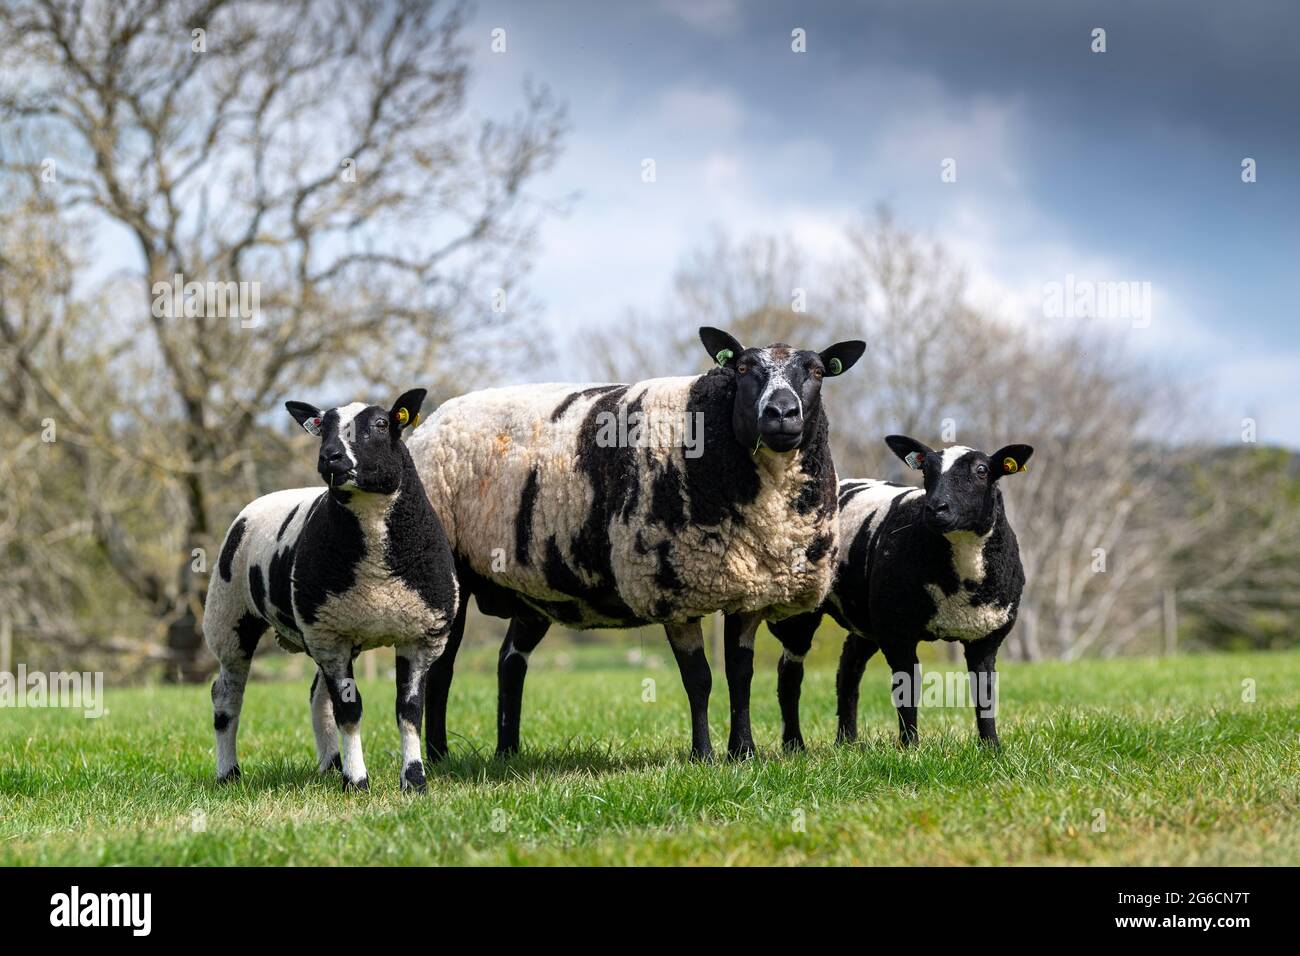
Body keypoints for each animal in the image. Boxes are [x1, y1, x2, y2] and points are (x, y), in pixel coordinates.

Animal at [203, 389, 458, 791]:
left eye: (381, 424)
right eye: (322, 428)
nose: (330, 457)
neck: (378, 572)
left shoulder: (420, 634)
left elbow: (409, 711)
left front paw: (414, 781)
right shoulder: (331, 633)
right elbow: (350, 711)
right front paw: (357, 782)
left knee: (317, 697)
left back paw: (330, 764)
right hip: (230, 617)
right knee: (227, 698)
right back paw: (229, 773)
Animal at [408, 327, 866, 760]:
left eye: (817, 372)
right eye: (742, 368)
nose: (782, 414)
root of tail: (433, 421)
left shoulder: (749, 590)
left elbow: (740, 674)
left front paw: (743, 752)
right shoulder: (671, 588)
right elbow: (698, 679)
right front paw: (703, 756)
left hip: (536, 585)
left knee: (509, 662)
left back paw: (507, 752)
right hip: (451, 572)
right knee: (442, 670)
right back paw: (440, 754)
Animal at [767, 435, 1034, 749]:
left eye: (982, 470)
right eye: (926, 470)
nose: (936, 508)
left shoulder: (986, 636)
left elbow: (985, 693)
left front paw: (991, 747)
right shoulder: (897, 632)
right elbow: (907, 687)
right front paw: (910, 747)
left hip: (867, 617)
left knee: (849, 667)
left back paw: (846, 741)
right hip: (803, 612)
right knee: (789, 673)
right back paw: (794, 746)